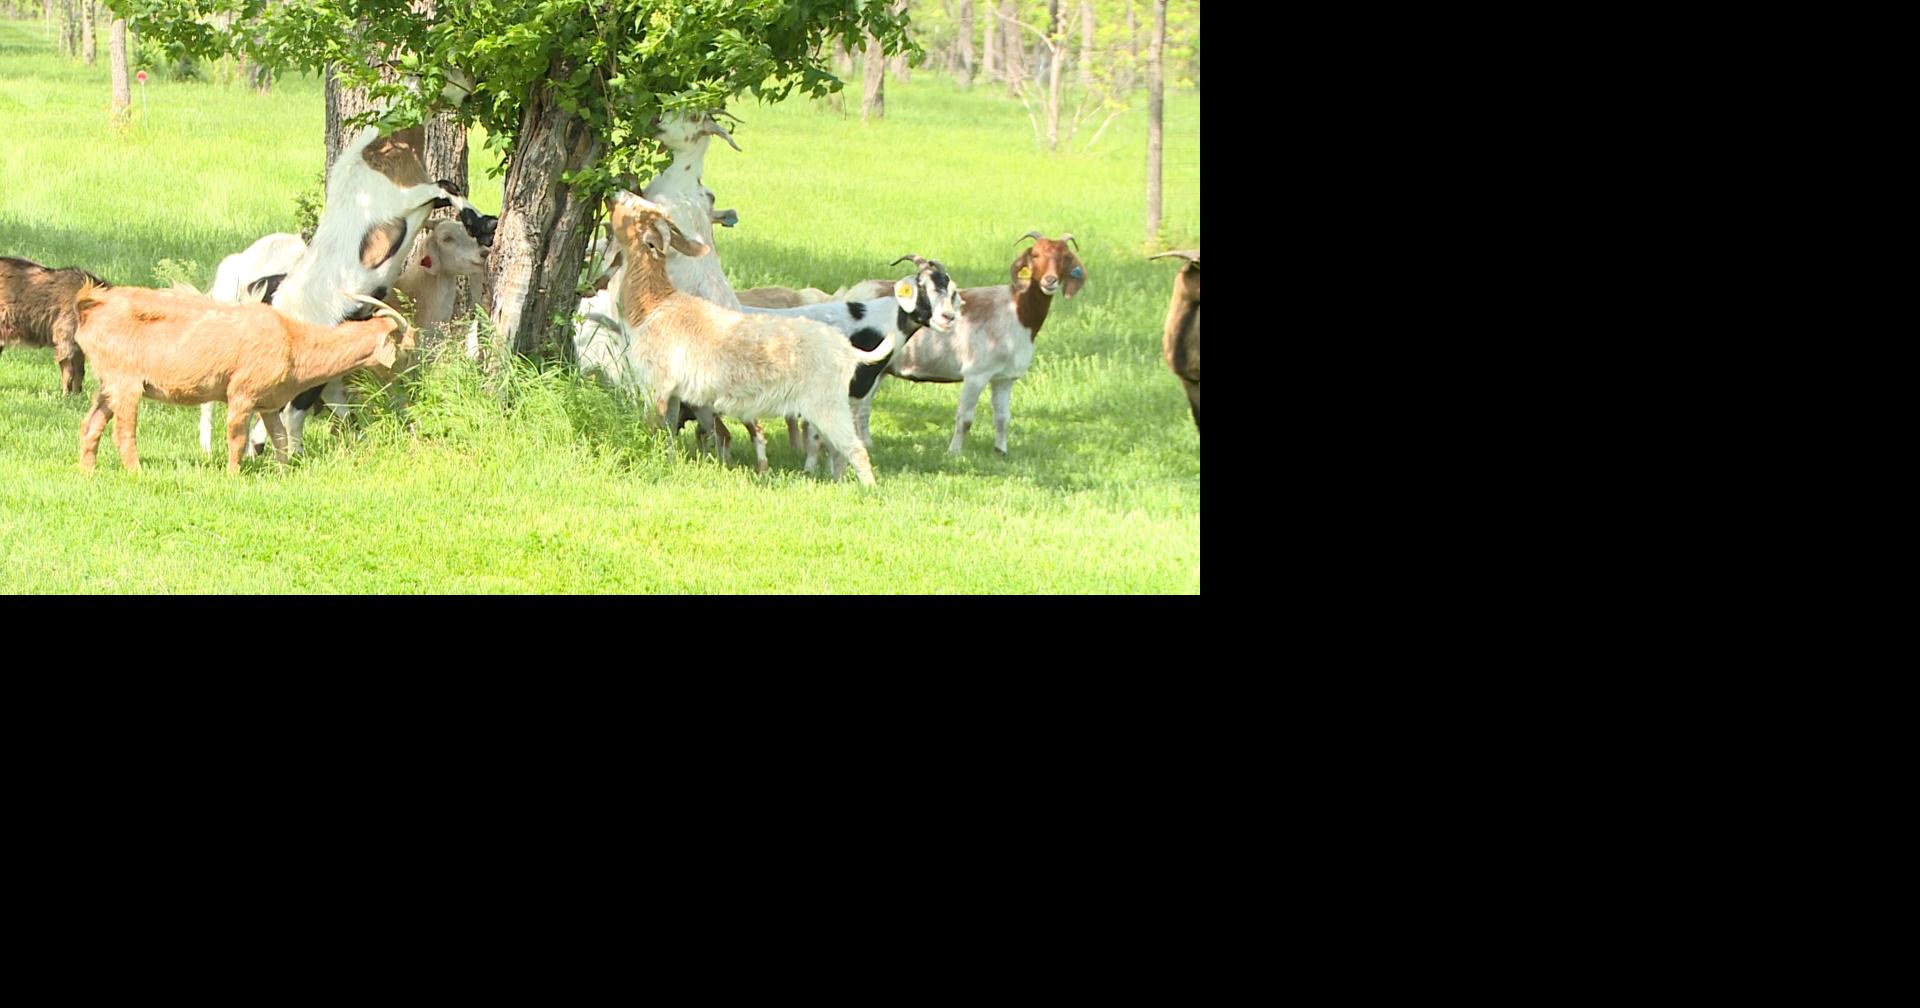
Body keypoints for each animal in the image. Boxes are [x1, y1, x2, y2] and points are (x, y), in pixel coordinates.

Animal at [0, 256, 104, 394]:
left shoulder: (78, 345)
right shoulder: (66, 335)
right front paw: (66, 395)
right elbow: (69, 372)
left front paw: (77, 395)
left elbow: (80, 372)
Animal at [71, 280, 410, 473]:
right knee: (123, 433)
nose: (406, 379)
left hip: (108, 385)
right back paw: (137, 473)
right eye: (403, 344)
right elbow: (237, 438)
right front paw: (233, 475)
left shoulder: (268, 404)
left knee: (90, 424)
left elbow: (280, 438)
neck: (293, 342)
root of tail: (90, 307)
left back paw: (87, 472)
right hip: (126, 382)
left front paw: (283, 473)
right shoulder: (241, 394)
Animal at [606, 192, 895, 484]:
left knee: (855, 449)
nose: (617, 194)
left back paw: (867, 488)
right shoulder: (675, 391)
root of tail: (846, 349)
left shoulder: (656, 384)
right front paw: (668, 458)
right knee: (837, 450)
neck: (654, 305)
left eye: (635, 209)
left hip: (826, 403)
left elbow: (653, 426)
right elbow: (668, 430)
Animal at [742, 255, 962, 473]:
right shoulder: (850, 390)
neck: (877, 323)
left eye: (951, 291)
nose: (947, 317)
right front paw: (833, 472)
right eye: (922, 287)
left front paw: (813, 470)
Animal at [887, 232, 1086, 456]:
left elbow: (1003, 417)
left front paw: (1000, 452)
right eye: (1035, 255)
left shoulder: (1005, 377)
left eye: (1065, 257)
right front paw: (954, 453)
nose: (1050, 280)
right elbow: (964, 418)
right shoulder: (976, 374)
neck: (1015, 312)